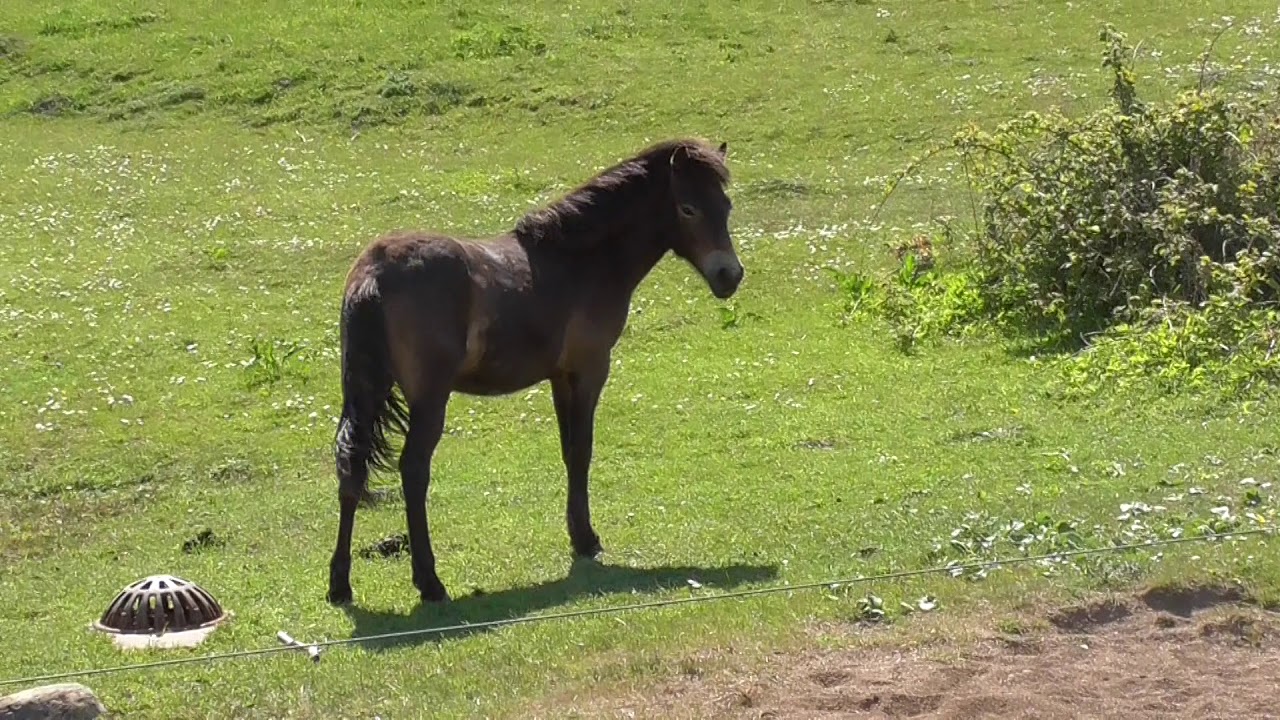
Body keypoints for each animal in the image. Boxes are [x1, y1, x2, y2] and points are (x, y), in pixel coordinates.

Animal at [326, 137, 743, 605]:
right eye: (688, 208)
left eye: (725, 205)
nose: (730, 275)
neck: (578, 261)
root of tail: (373, 272)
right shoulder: (589, 369)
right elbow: (582, 450)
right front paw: (586, 539)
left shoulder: (560, 376)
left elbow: (568, 450)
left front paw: (579, 533)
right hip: (429, 398)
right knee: (413, 470)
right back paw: (430, 581)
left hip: (365, 391)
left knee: (350, 465)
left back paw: (340, 583)